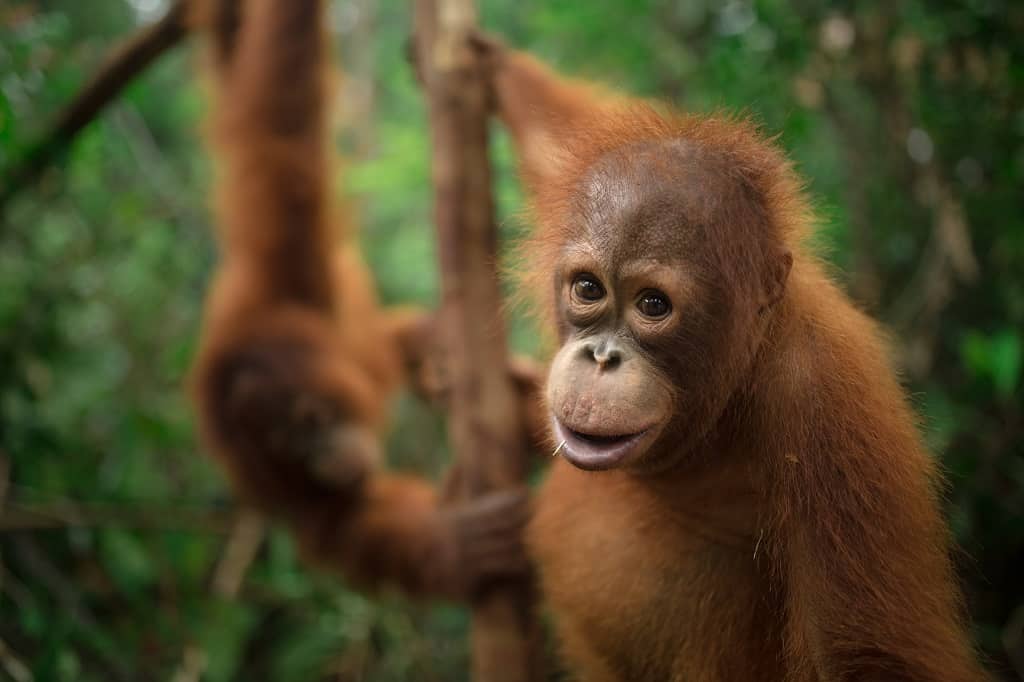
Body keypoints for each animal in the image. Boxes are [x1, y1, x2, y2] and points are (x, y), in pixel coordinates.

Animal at [187, 0, 528, 600]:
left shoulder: (289, 251)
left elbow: (282, 117)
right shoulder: (252, 469)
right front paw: (453, 543)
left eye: (313, 418)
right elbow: (336, 520)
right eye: (291, 452)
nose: (324, 459)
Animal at [473, 38, 986, 680]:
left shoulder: (826, 400)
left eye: (652, 304)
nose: (600, 357)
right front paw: (488, 61)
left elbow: (870, 654)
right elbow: (557, 143)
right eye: (588, 289)